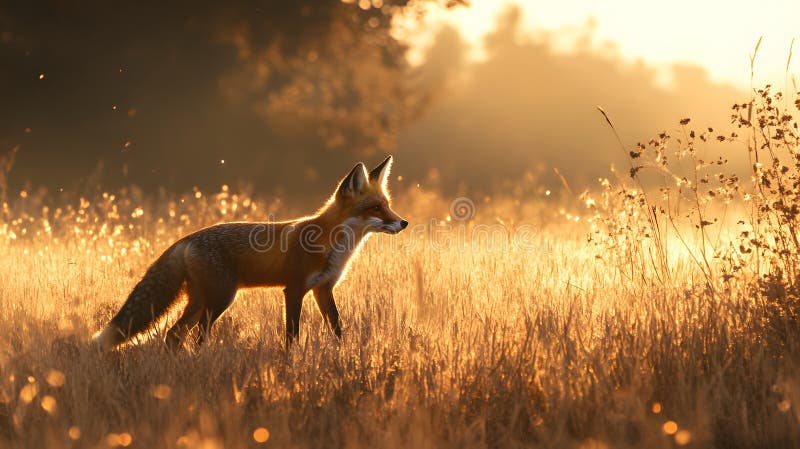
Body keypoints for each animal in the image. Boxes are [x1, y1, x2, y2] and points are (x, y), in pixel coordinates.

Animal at [93, 156, 407, 351]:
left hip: (201, 300)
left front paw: (344, 355)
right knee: (195, 338)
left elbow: (338, 329)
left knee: (173, 336)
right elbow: (292, 335)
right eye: (375, 208)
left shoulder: (323, 289)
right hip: (220, 300)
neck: (330, 242)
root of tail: (186, 238)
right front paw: (291, 364)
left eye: (387, 205)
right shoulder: (294, 290)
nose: (403, 222)